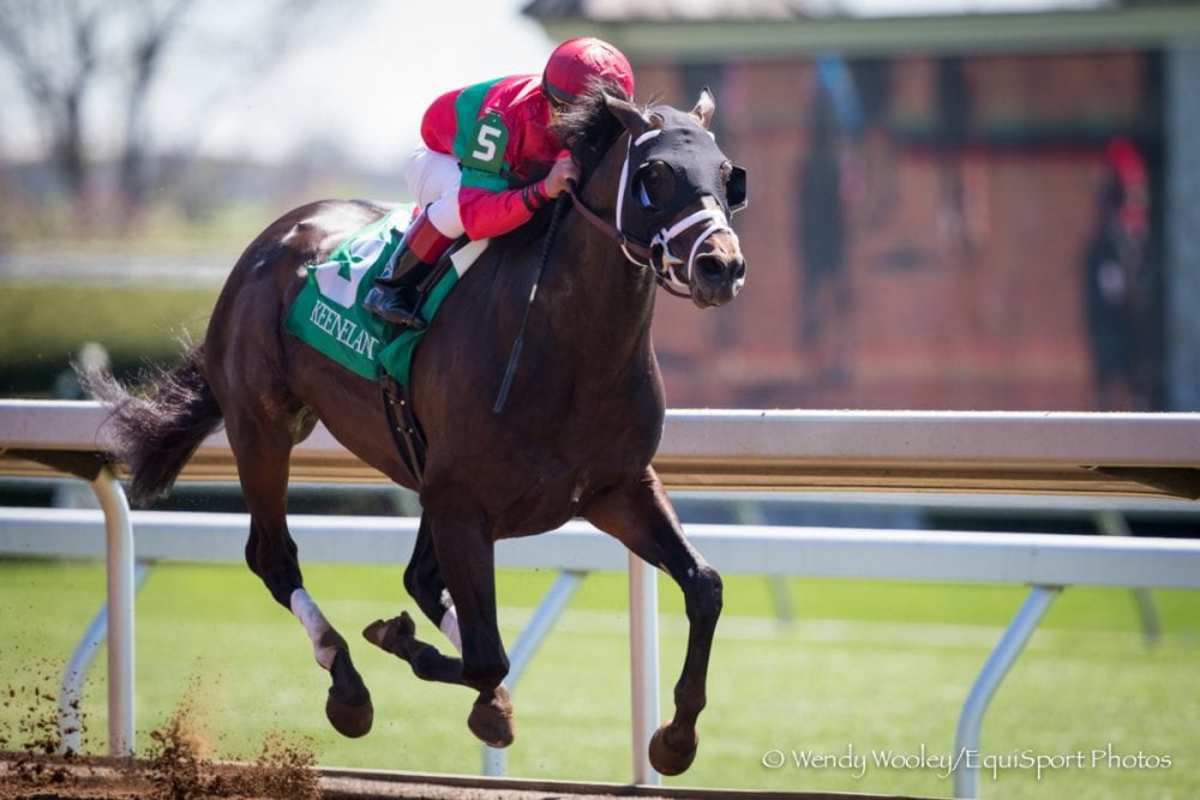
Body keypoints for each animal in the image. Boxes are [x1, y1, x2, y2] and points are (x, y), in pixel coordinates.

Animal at [89, 84, 747, 776]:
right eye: (655, 175)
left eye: (728, 177)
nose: (720, 266)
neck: (567, 347)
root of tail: (268, 241)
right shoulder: (461, 502)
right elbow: (486, 655)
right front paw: (400, 642)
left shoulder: (615, 488)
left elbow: (704, 586)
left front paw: (675, 739)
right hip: (261, 426)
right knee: (274, 556)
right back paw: (347, 683)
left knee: (420, 579)